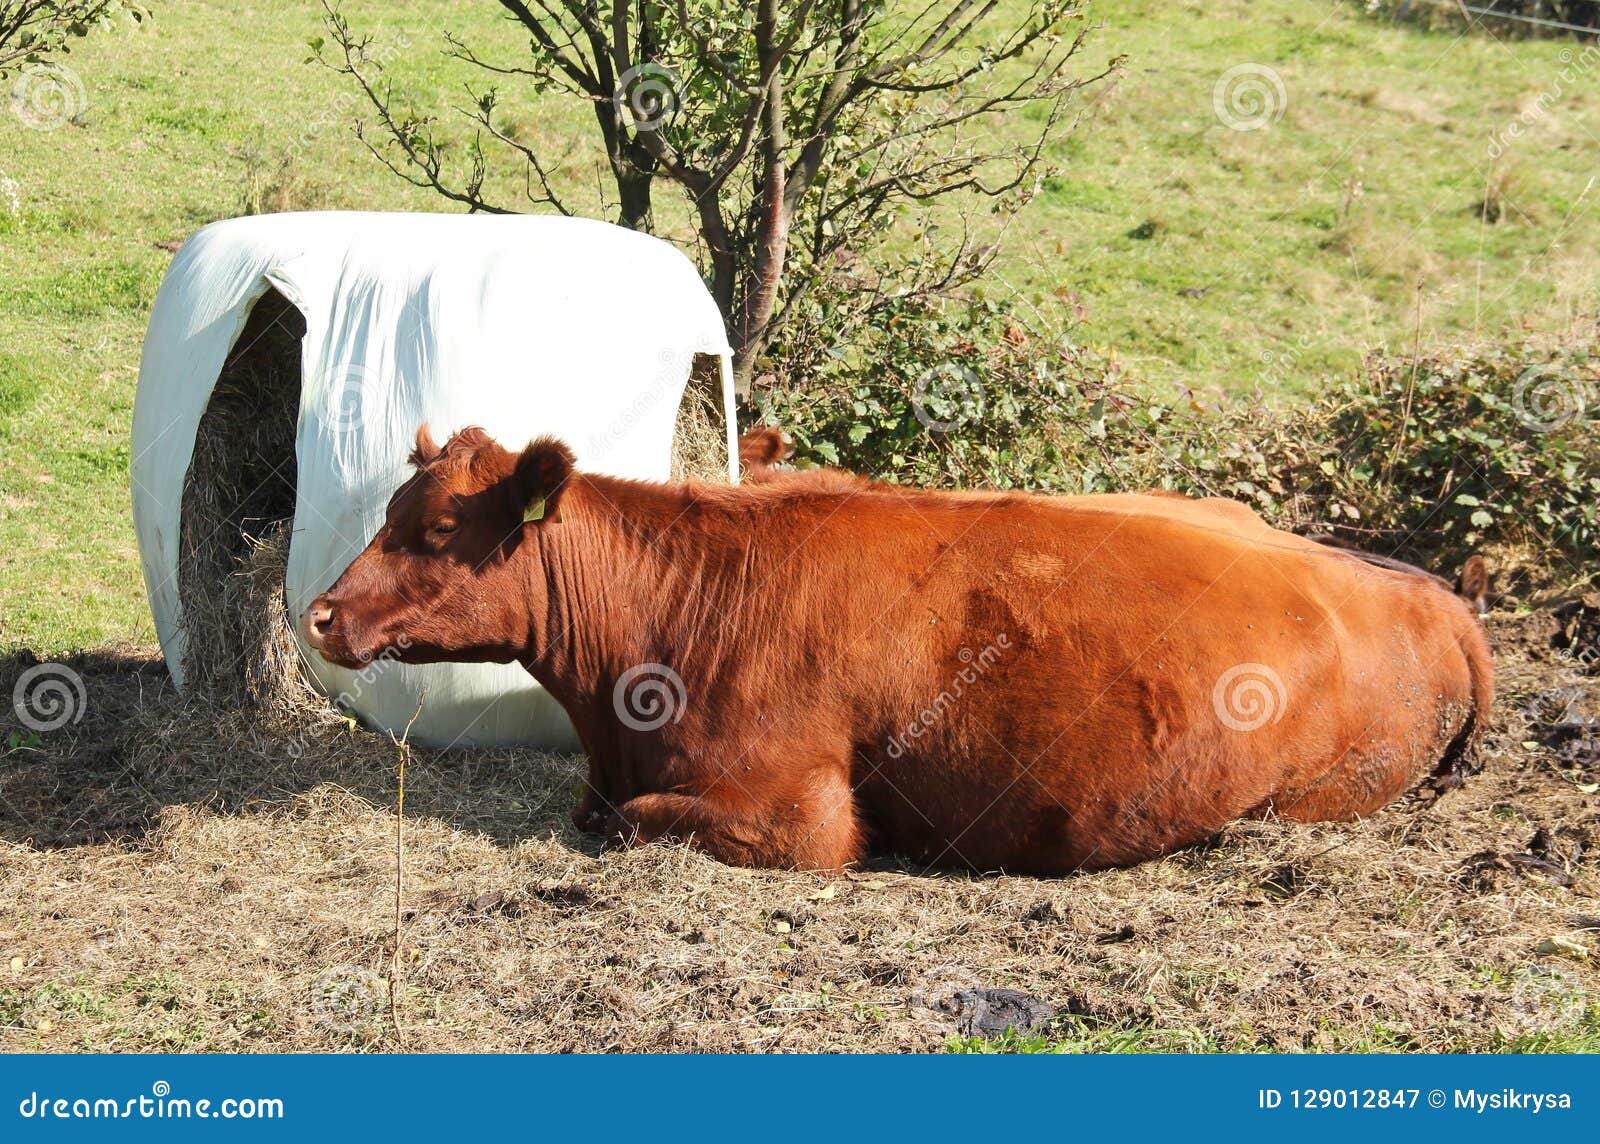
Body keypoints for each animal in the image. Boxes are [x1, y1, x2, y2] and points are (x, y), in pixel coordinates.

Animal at [302, 424, 1494, 875]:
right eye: (390, 511)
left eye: (433, 531)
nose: (316, 615)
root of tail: (1431, 594)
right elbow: (599, 808)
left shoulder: (800, 815)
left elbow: (630, 820)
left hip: (1307, 797)